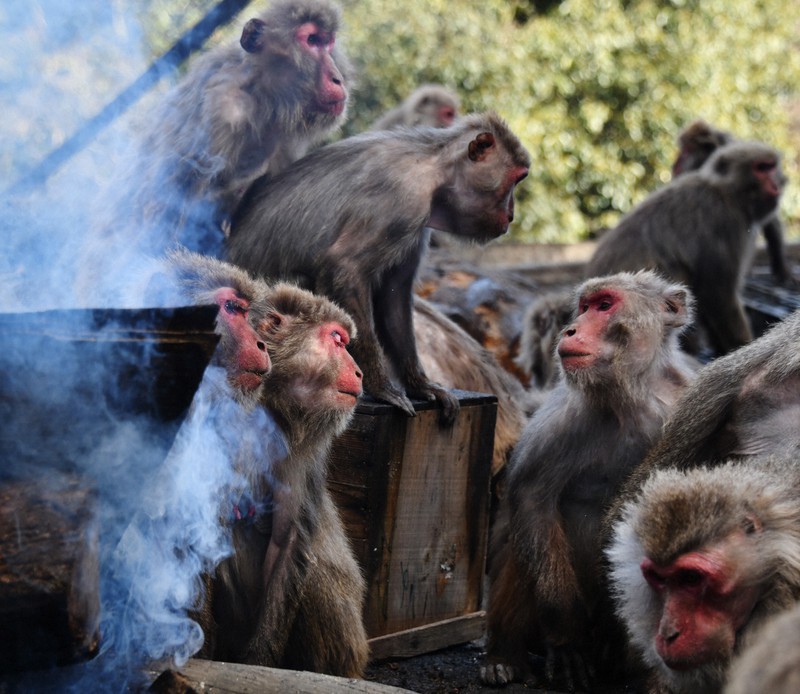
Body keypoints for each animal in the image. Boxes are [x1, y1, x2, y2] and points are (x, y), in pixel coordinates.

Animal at [170, 251, 369, 676]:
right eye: (338, 340)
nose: (360, 371)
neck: (256, 404)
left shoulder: (301, 447)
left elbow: (287, 540)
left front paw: (260, 663)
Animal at [227, 111, 530, 423]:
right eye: (517, 179)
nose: (511, 215)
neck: (435, 168)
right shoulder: (404, 199)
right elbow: (344, 268)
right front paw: (380, 386)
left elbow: (395, 295)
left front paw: (420, 386)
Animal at [480, 270, 697, 689]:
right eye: (583, 307)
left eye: (604, 305)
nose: (570, 330)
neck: (631, 396)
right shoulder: (566, 415)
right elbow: (531, 497)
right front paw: (566, 641)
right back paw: (505, 653)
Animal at [586, 140, 786, 358]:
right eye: (761, 168)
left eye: (772, 167)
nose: (777, 183)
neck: (726, 192)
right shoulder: (724, 222)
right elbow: (719, 294)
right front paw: (741, 346)